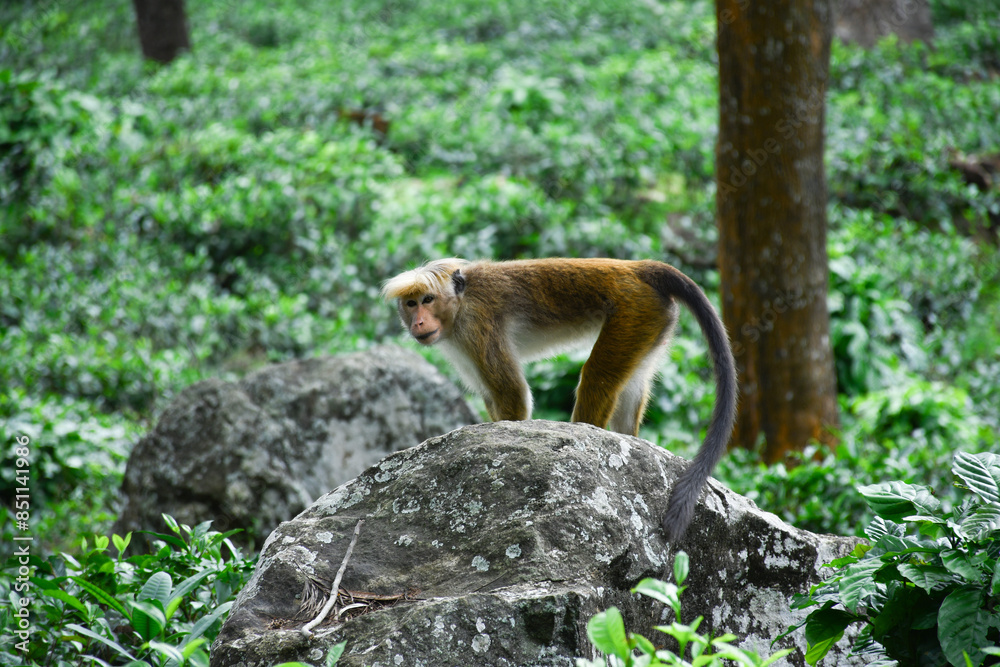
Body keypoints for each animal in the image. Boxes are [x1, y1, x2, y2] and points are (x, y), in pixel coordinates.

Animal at [382, 258, 737, 542]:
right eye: (411, 304)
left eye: (427, 299)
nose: (419, 322)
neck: (459, 304)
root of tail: (638, 267)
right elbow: (494, 398)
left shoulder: (476, 326)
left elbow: (513, 396)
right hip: (650, 320)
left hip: (633, 310)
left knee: (596, 375)